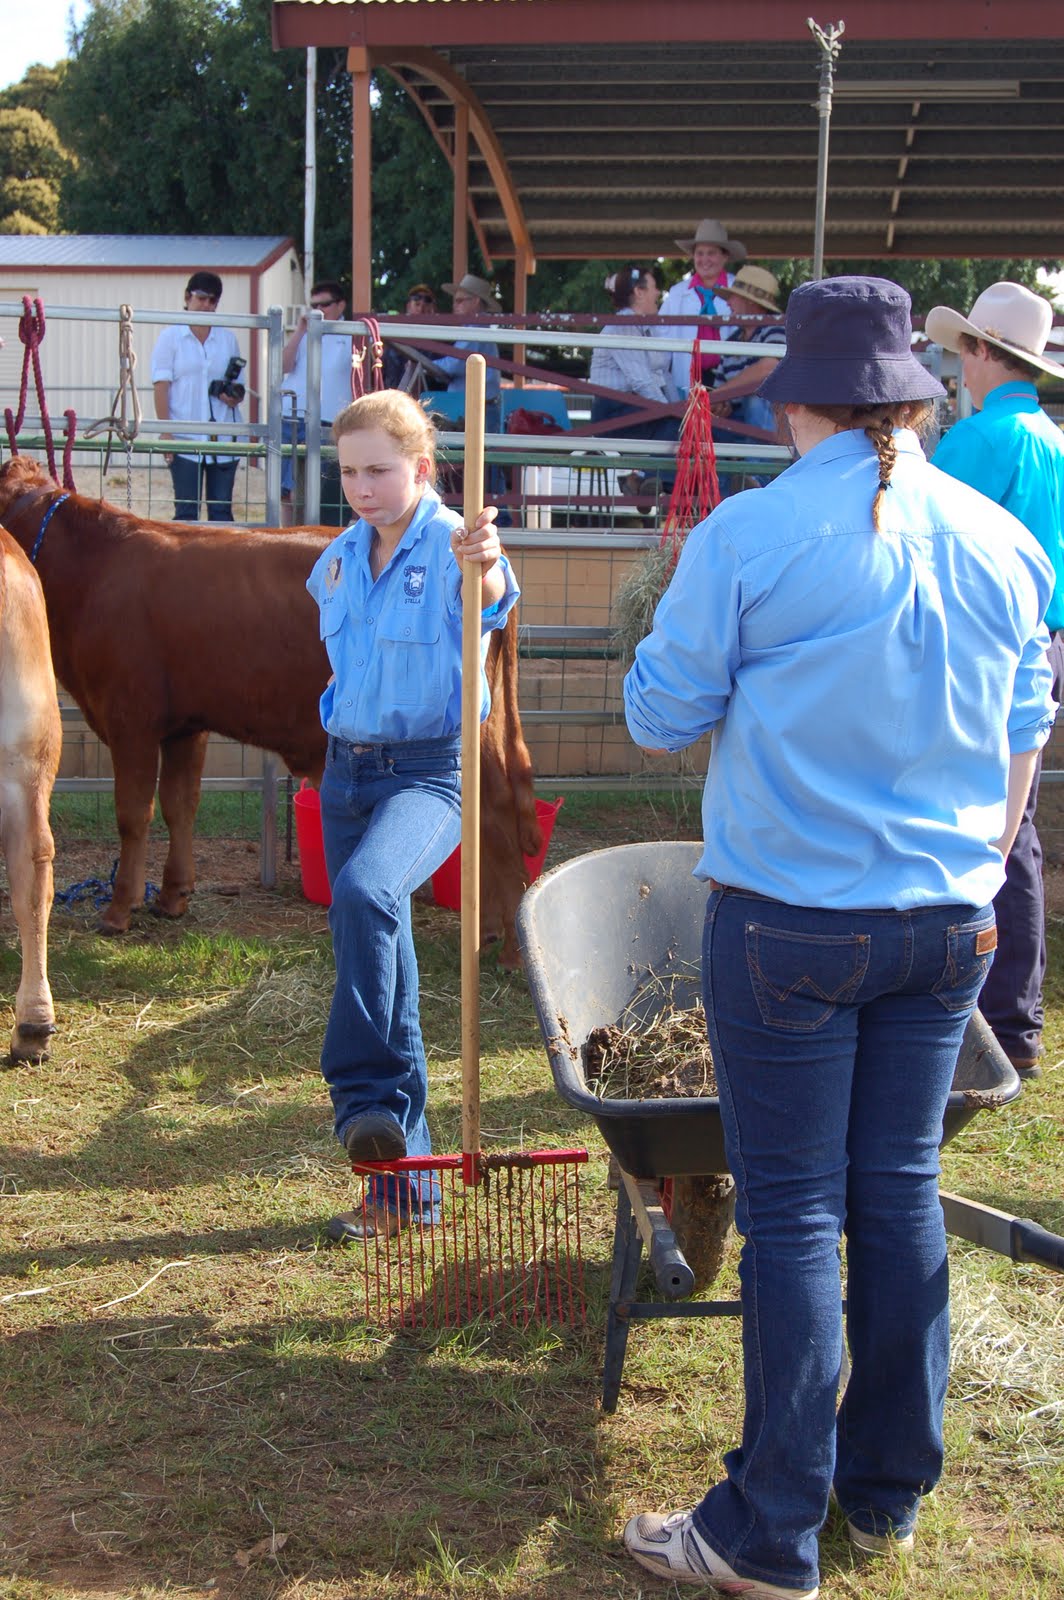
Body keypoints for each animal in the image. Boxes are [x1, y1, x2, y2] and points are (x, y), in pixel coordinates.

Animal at [0, 456, 541, 966]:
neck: (93, 569)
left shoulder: (131, 719)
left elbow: (133, 815)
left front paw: (118, 910)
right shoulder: (184, 727)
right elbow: (179, 805)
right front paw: (172, 896)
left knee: (494, 808)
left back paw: (514, 951)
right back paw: (488, 933)